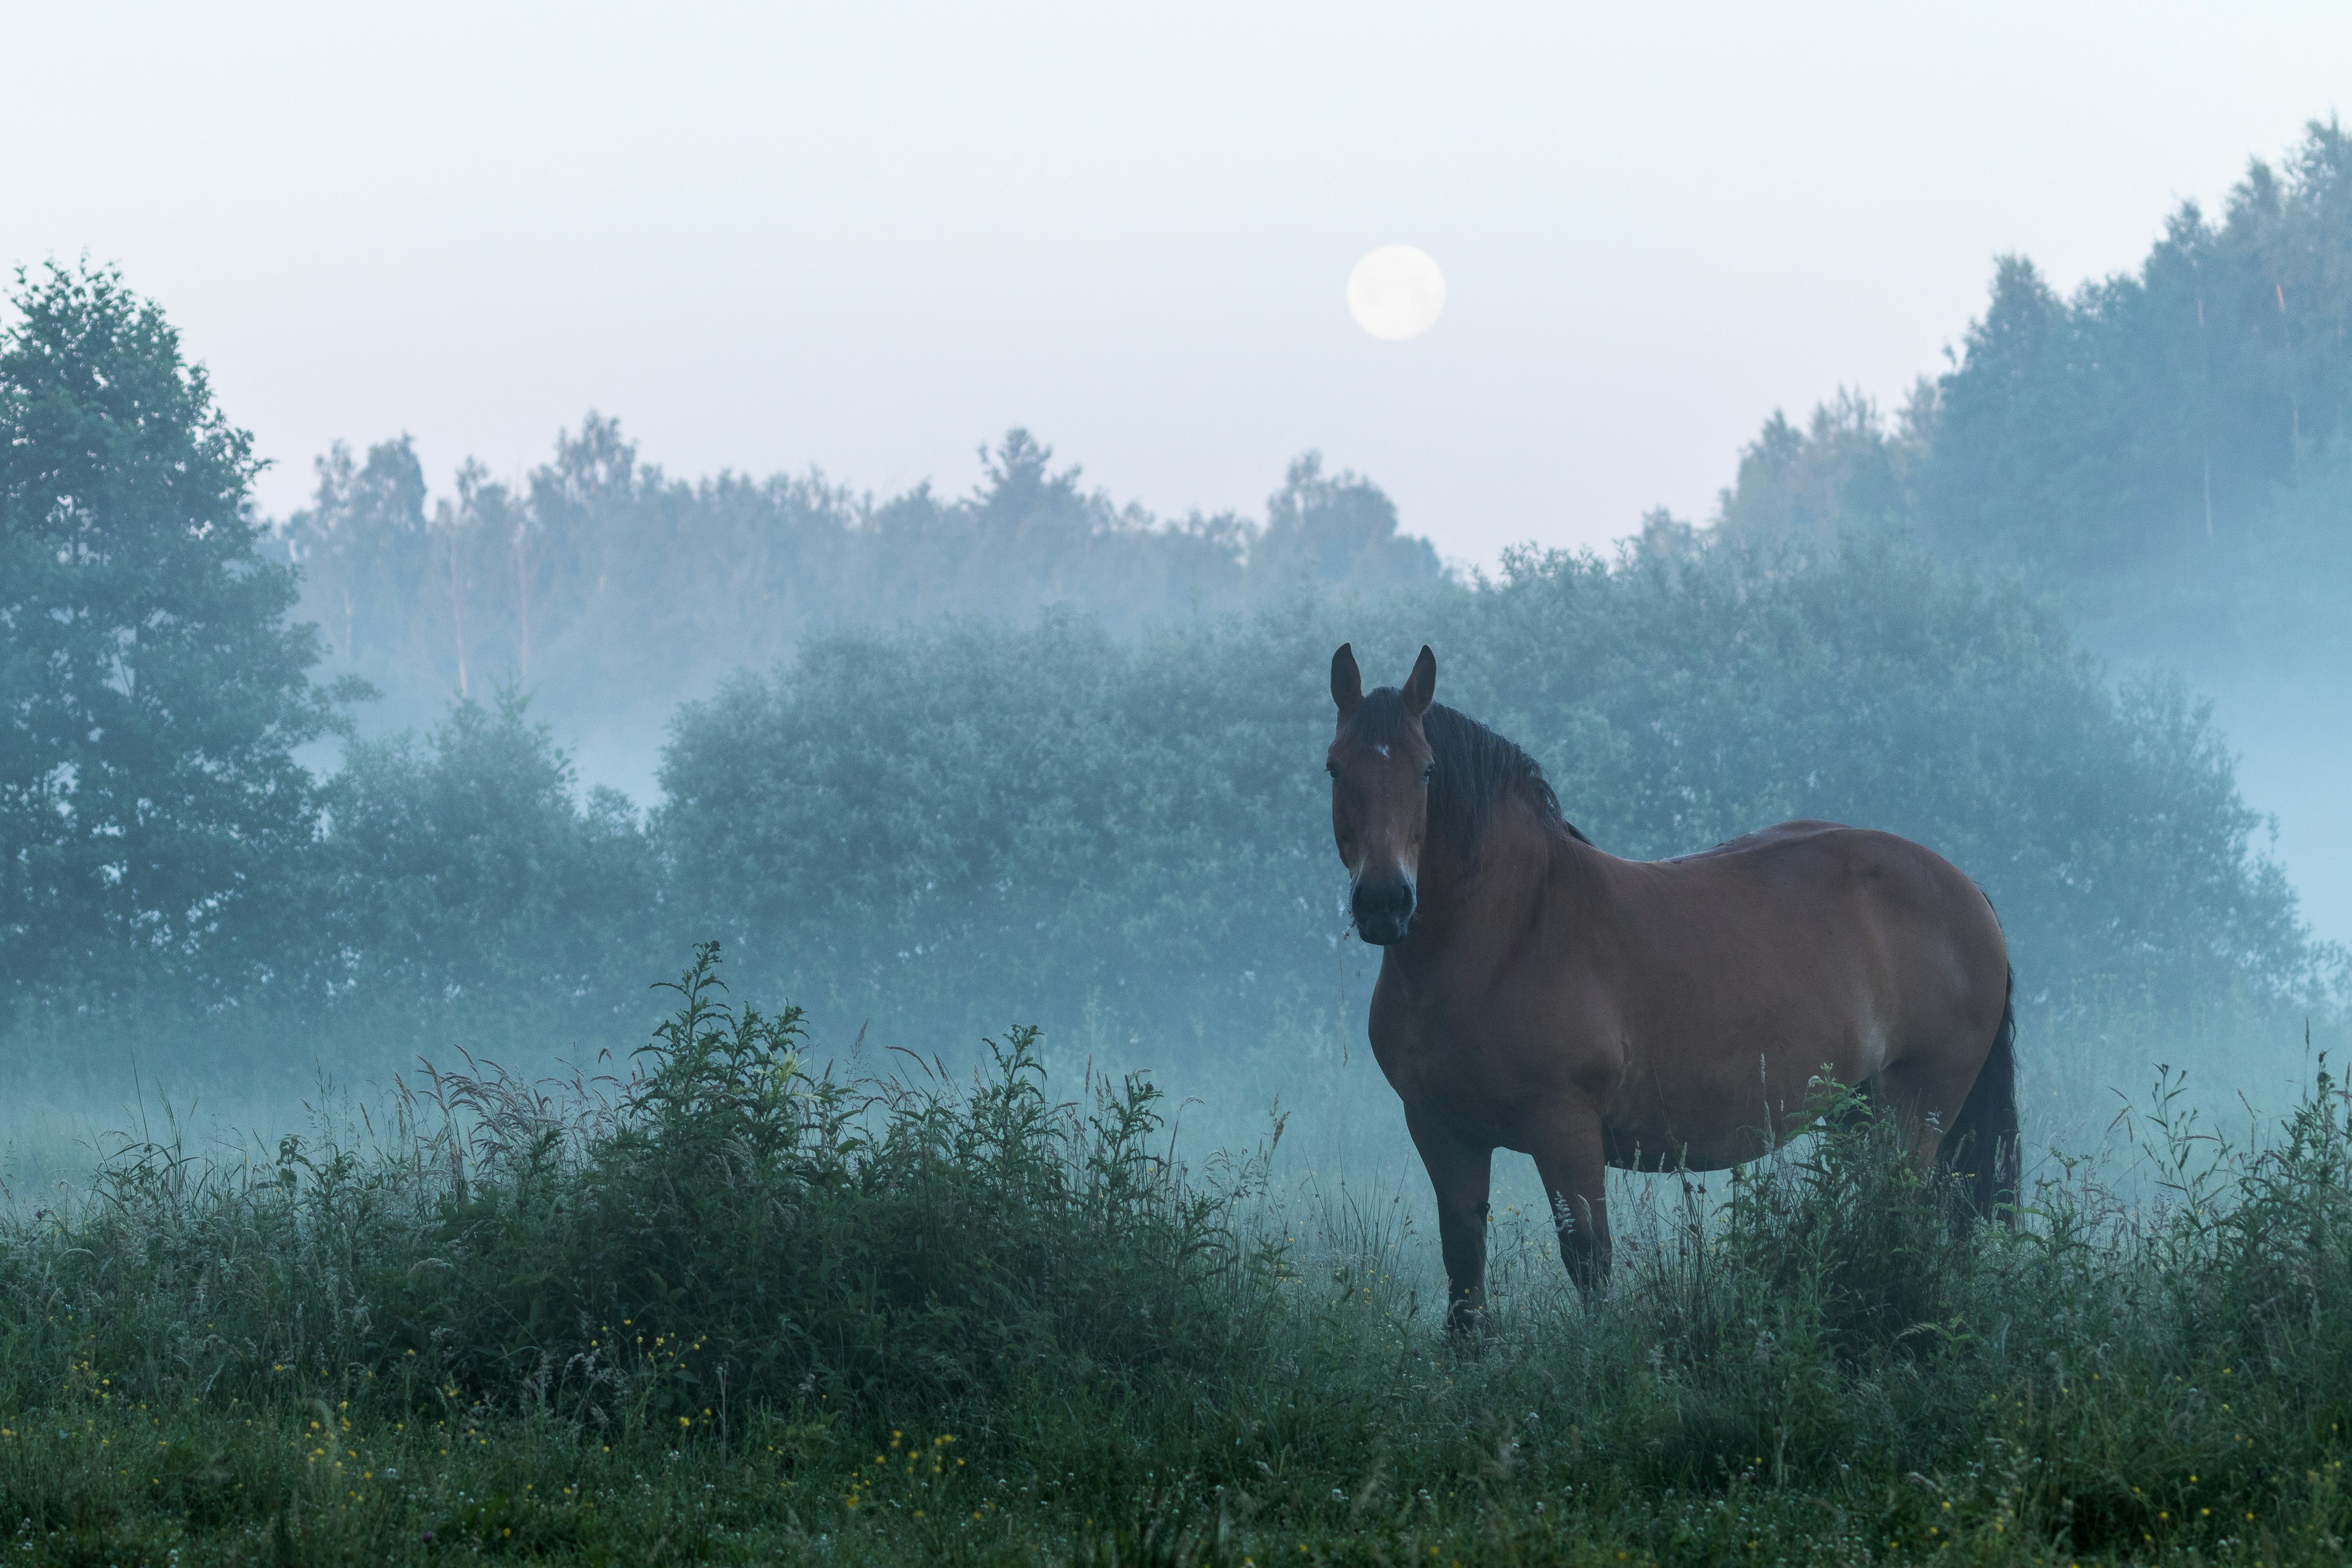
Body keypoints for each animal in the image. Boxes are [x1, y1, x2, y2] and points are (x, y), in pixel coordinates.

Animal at [1325, 643, 2017, 1330]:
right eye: (1334, 769)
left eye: (1426, 772)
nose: (1384, 903)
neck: (1508, 932)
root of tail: (1967, 890)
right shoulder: (1443, 1132)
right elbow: (1464, 1274)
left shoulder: (1564, 1130)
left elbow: (1589, 1262)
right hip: (1857, 1108)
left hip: (1915, 1107)